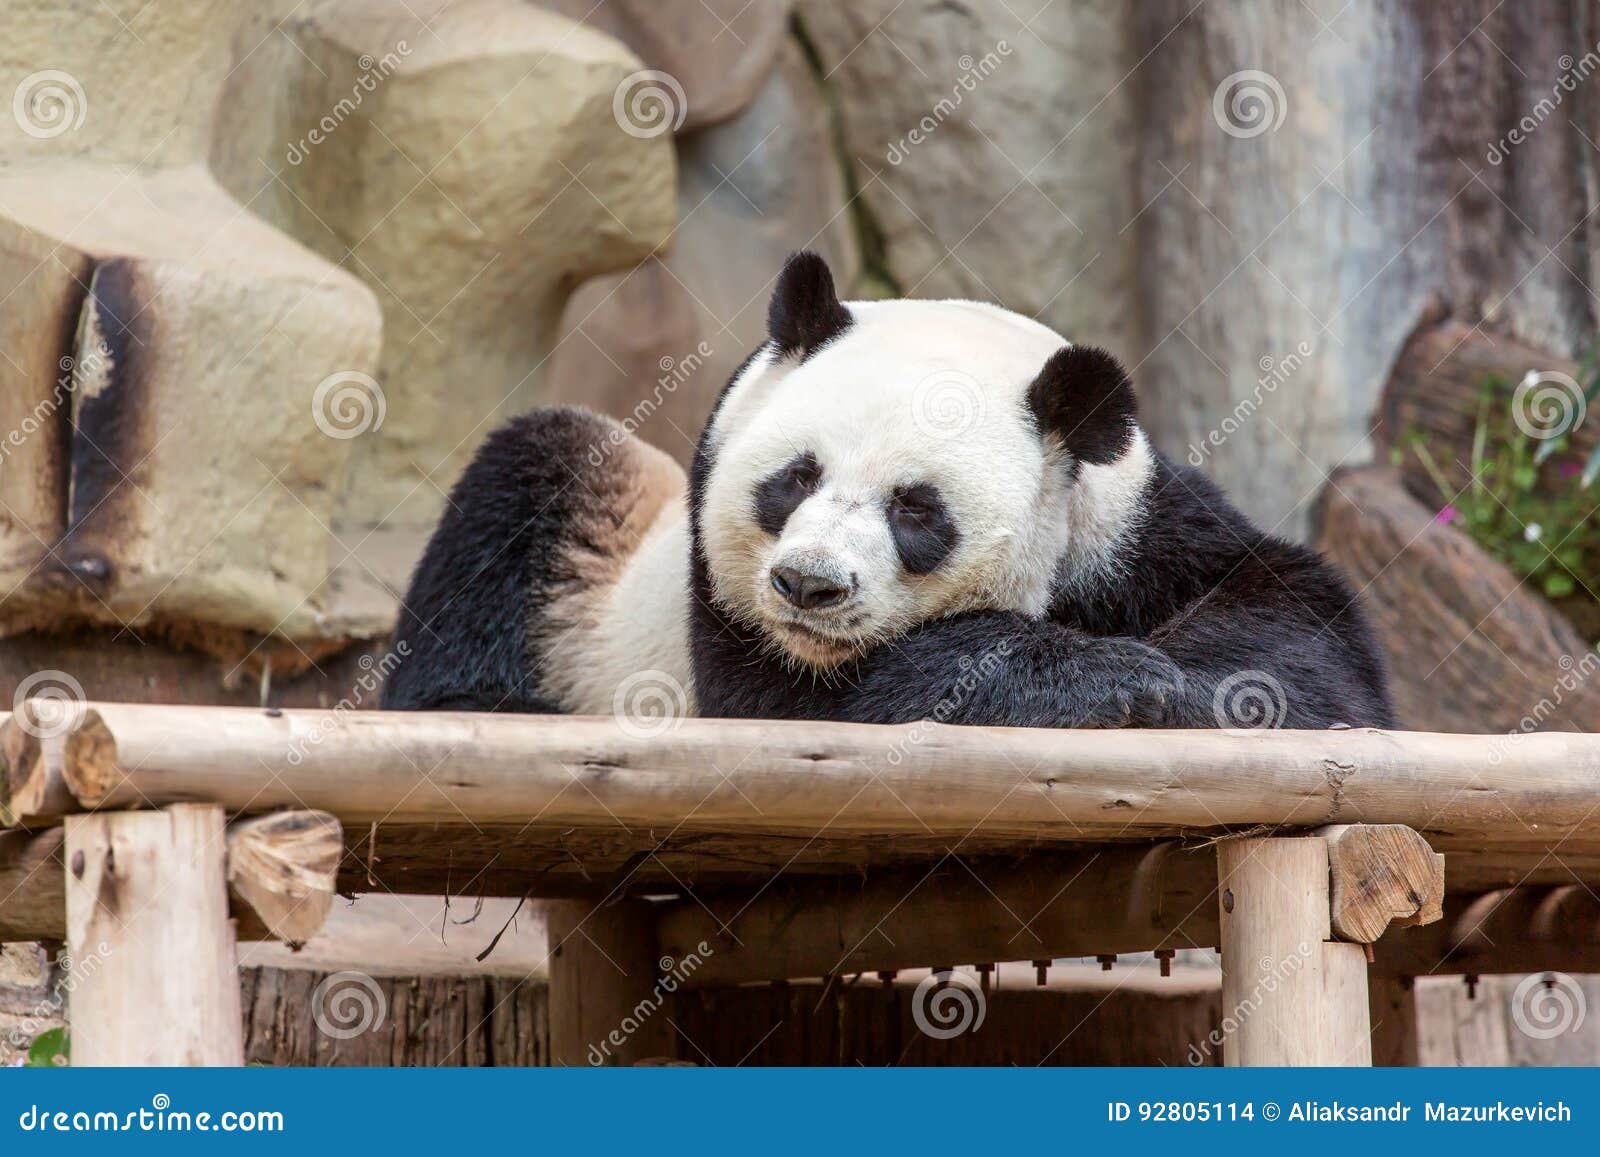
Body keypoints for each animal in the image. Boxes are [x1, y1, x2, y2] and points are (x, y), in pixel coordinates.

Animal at [383, 252, 1394, 731]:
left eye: (916, 509)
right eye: (794, 478)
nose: (810, 586)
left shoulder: (1132, 519)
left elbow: (1297, 624)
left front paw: (1180, 680)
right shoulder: (714, 584)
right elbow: (785, 698)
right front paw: (1109, 676)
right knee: (526, 478)